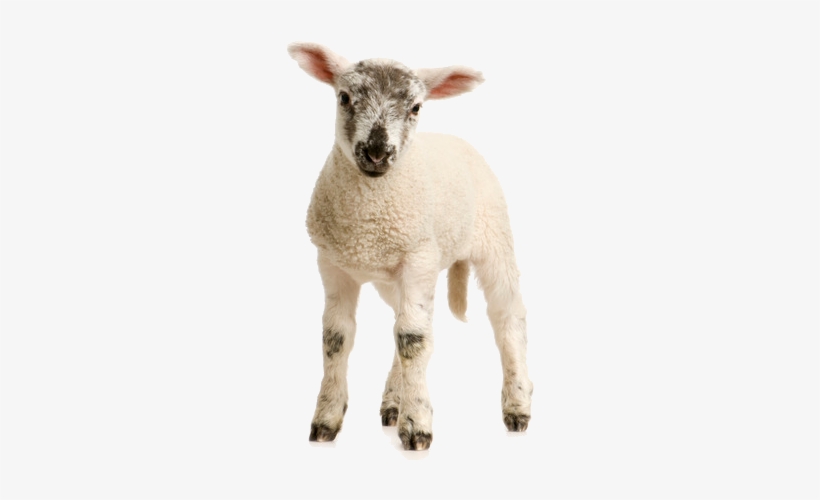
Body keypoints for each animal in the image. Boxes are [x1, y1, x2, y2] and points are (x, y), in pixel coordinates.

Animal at [288, 43, 532, 451]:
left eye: (416, 107)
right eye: (344, 97)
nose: (376, 152)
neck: (367, 223)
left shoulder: (417, 259)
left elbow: (413, 341)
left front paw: (417, 425)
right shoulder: (333, 264)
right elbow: (336, 338)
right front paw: (326, 420)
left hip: (493, 238)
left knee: (507, 317)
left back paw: (517, 405)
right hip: (396, 277)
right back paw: (392, 401)